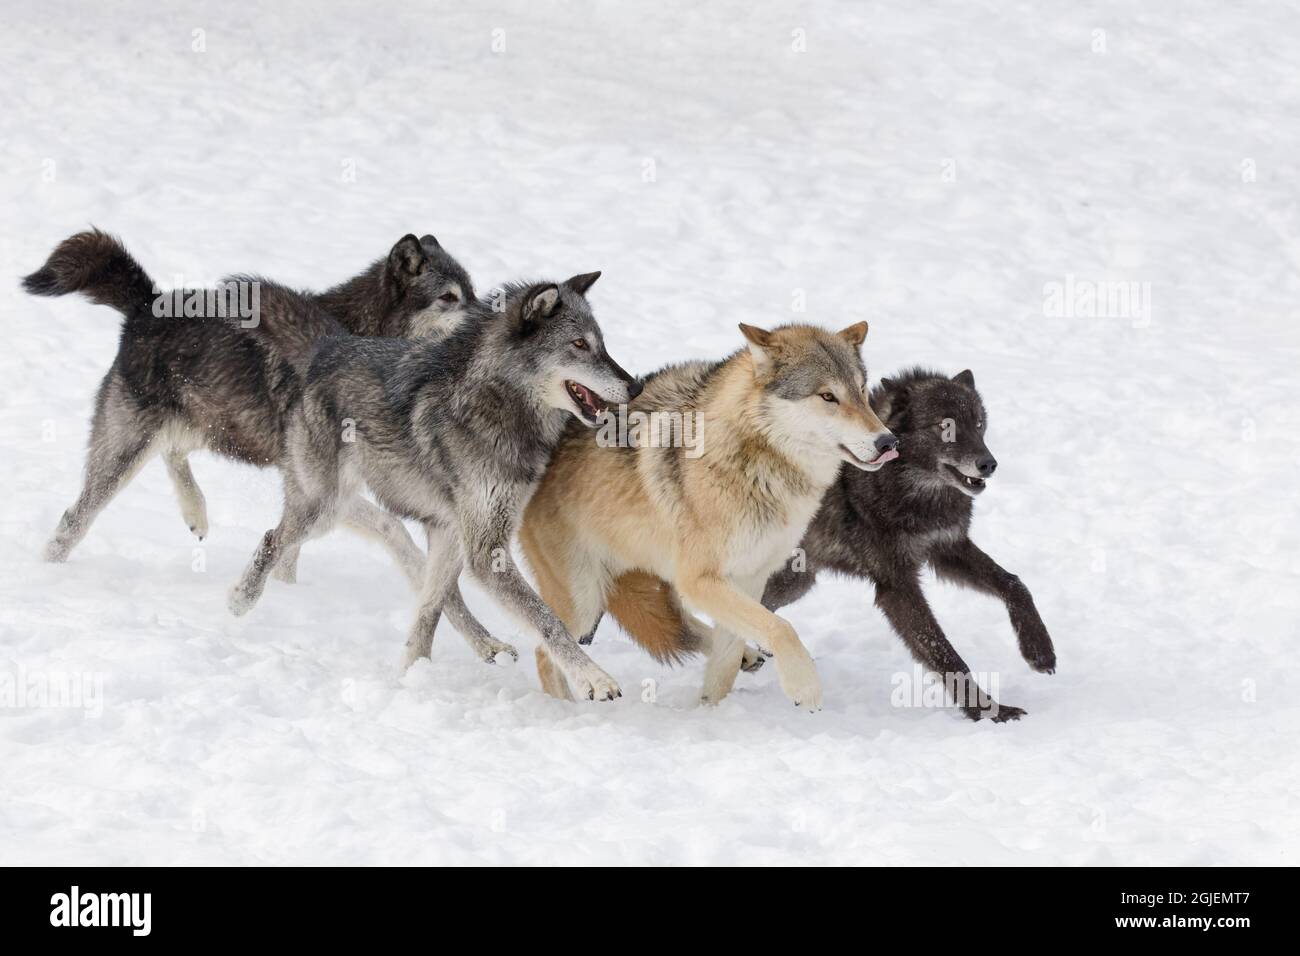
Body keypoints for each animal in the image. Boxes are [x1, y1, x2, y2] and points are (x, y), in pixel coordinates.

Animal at [22, 229, 507, 661]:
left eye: (472, 292)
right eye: (449, 298)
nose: (488, 323)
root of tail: (148, 302)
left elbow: (386, 549)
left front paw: (487, 643)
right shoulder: (321, 488)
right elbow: (404, 547)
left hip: (203, 428)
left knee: (173, 455)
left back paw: (196, 511)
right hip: (126, 451)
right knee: (74, 518)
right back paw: (46, 572)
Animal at [226, 272, 643, 696]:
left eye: (602, 344)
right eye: (579, 345)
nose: (635, 386)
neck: (497, 404)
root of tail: (333, 346)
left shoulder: (467, 534)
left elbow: (431, 609)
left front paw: (414, 674)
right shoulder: (486, 550)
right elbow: (547, 619)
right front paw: (594, 678)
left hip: (404, 521)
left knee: (433, 589)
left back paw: (476, 647)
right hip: (325, 506)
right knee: (272, 538)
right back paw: (243, 599)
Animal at [519, 322, 899, 711]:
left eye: (861, 391)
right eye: (827, 396)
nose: (887, 442)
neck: (756, 461)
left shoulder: (749, 577)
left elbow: (727, 661)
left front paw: (711, 709)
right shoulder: (699, 580)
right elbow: (781, 628)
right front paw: (804, 687)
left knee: (687, 628)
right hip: (585, 600)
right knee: (546, 649)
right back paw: (566, 704)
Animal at [603, 367, 1057, 720]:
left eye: (979, 424)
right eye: (945, 428)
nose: (988, 464)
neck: (905, 486)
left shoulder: (947, 548)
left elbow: (1015, 583)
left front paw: (1039, 651)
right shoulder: (896, 586)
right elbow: (945, 654)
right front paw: (989, 711)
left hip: (793, 580)